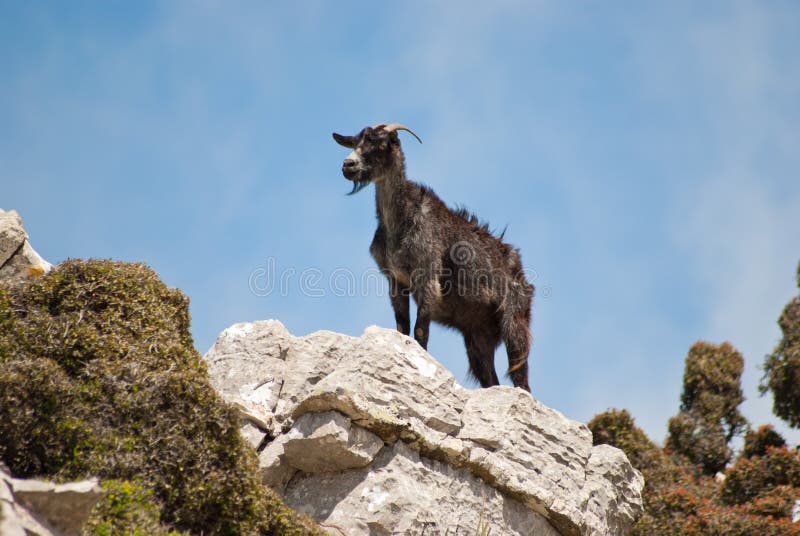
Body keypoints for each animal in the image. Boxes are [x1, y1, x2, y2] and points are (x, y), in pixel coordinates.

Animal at [332, 123, 534, 392]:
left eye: (382, 144)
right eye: (356, 143)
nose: (348, 165)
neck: (401, 222)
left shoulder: (427, 277)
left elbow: (420, 330)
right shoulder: (396, 280)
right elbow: (402, 326)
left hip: (514, 320)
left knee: (520, 373)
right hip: (478, 336)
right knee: (489, 377)